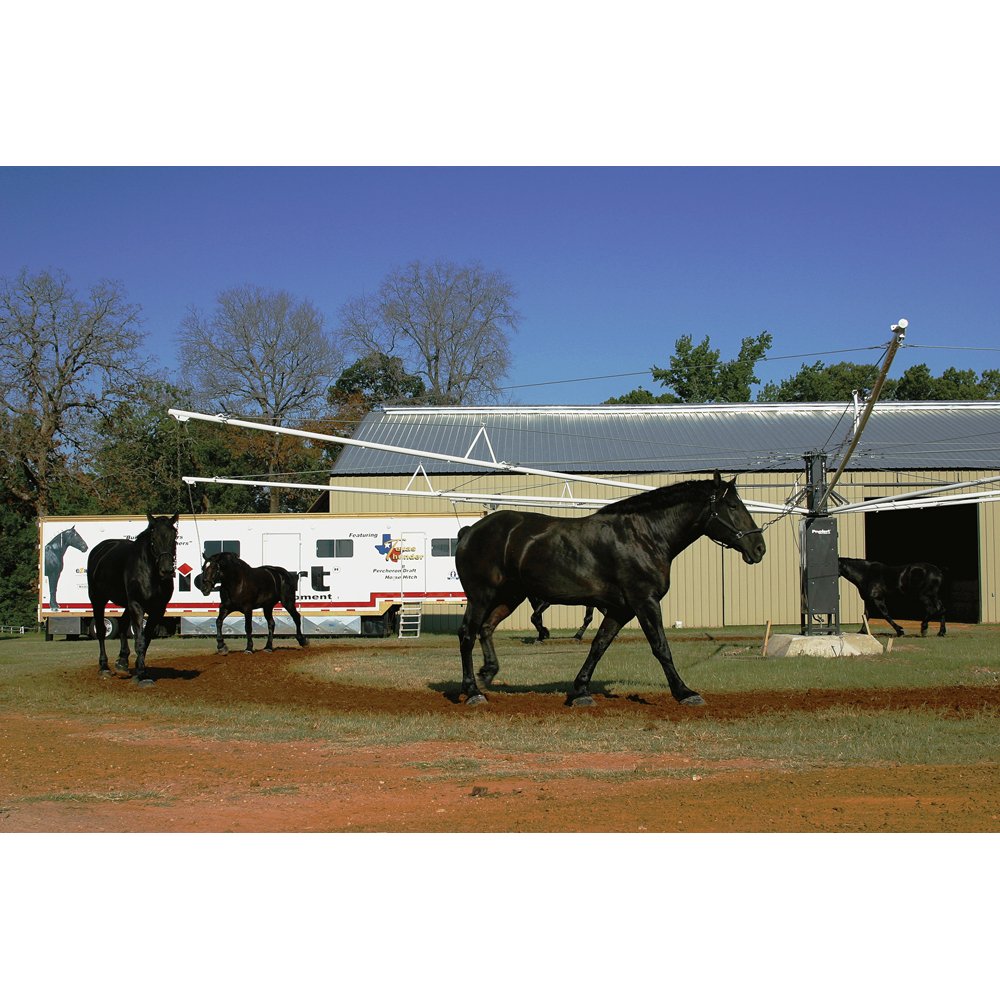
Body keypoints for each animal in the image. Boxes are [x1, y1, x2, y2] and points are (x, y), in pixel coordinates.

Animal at [86, 513, 179, 685]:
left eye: (174, 536)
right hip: (98, 598)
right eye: (153, 538)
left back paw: (122, 662)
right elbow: (140, 639)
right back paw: (104, 667)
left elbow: (146, 639)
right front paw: (141, 674)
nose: (167, 570)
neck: (150, 573)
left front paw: (140, 668)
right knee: (101, 630)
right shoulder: (137, 605)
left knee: (123, 624)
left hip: (126, 604)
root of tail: (99, 549)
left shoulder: (158, 609)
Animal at [456, 473, 766, 707]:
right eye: (733, 506)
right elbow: (661, 647)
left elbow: (599, 645)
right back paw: (472, 691)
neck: (644, 536)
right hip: (481, 596)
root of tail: (470, 531)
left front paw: (581, 691)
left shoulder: (621, 609)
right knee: (468, 634)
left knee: (486, 629)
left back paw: (488, 673)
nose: (759, 547)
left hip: (510, 597)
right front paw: (685, 693)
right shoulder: (645, 602)